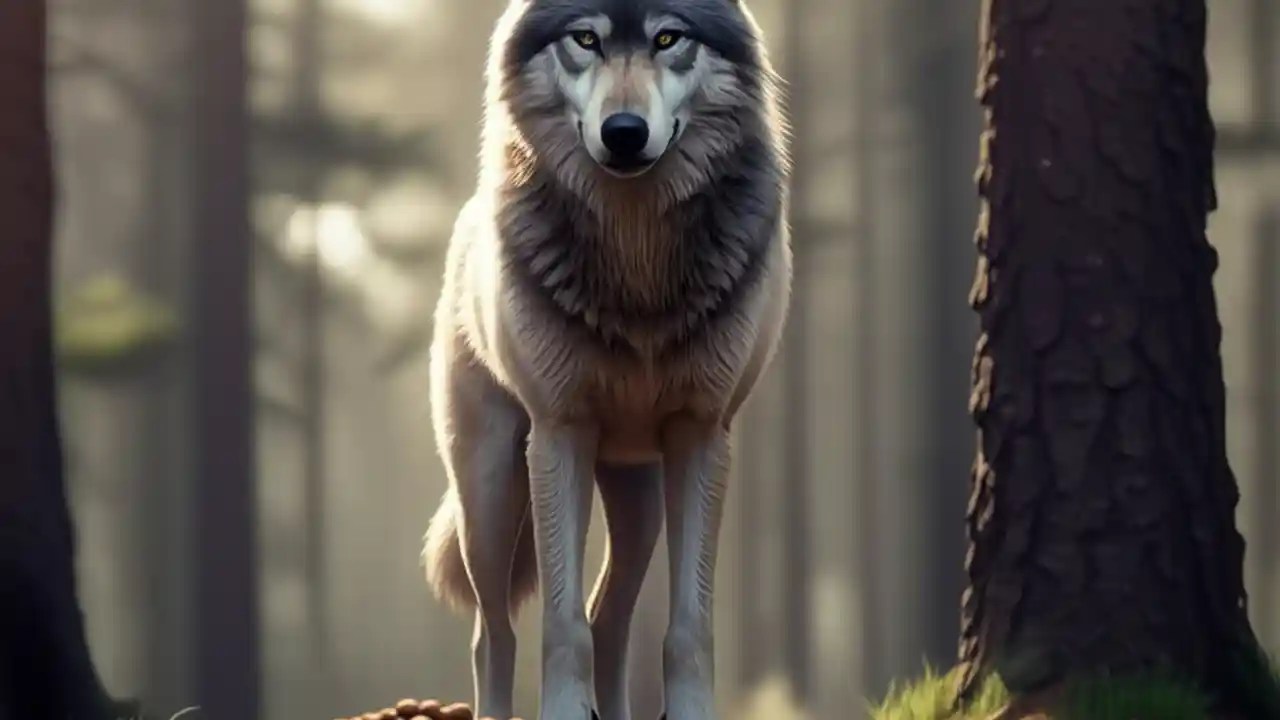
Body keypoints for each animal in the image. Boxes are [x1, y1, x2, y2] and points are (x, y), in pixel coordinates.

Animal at [421, 1, 790, 718]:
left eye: (668, 37)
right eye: (585, 39)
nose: (623, 133)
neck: (637, 258)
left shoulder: (701, 436)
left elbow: (687, 624)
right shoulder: (559, 435)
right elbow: (561, 624)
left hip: (638, 499)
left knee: (610, 616)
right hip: (492, 489)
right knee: (493, 633)